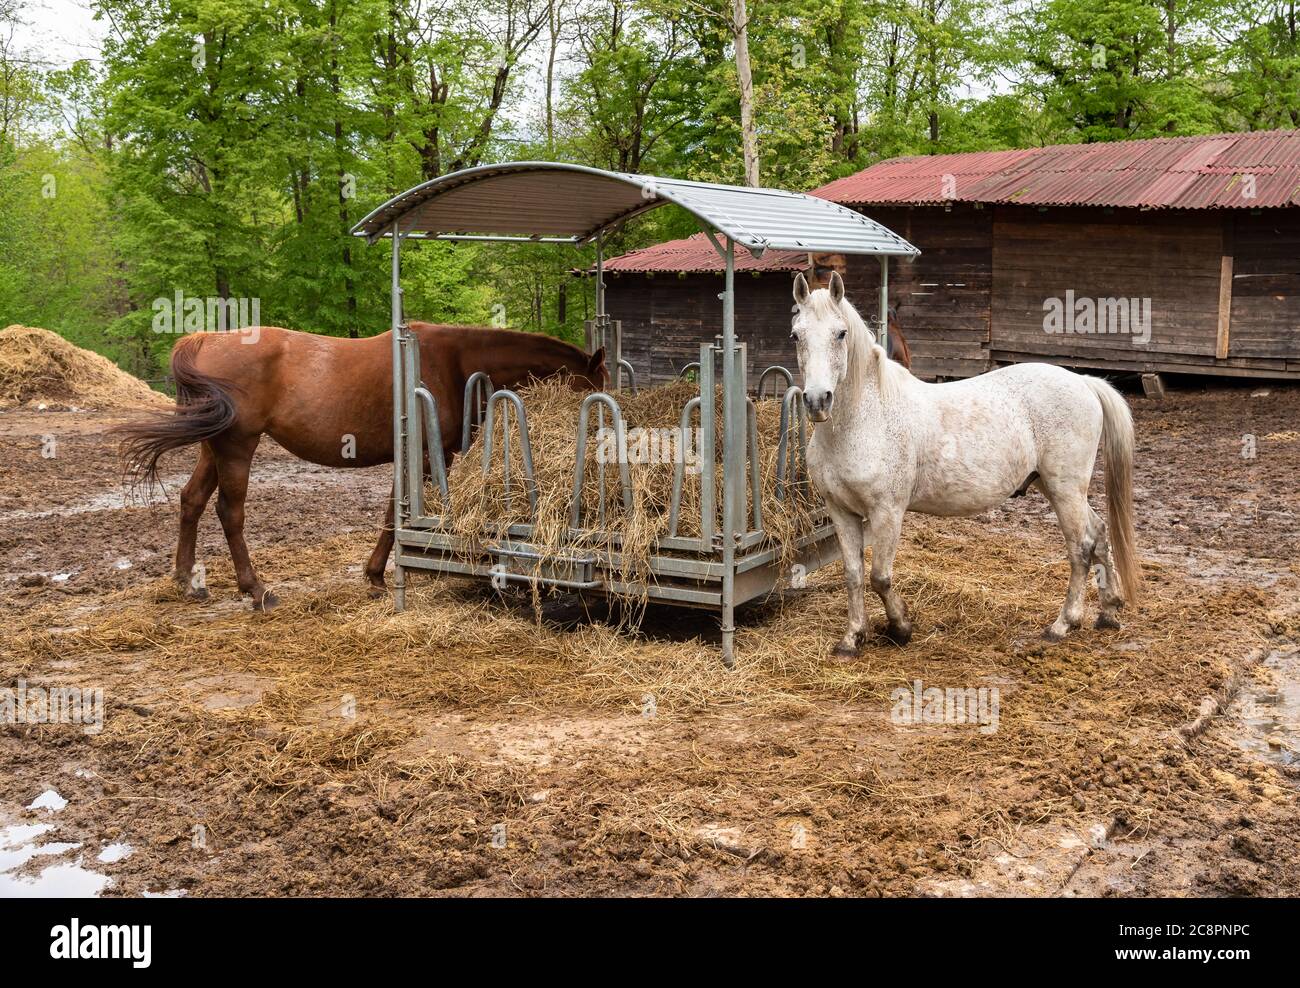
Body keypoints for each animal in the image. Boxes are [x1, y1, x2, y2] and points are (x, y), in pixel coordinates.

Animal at [119, 324, 608, 609]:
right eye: (597, 387)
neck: (456, 361)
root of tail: (202, 340)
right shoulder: (428, 457)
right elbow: (397, 515)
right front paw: (385, 576)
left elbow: (394, 514)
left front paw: (375, 575)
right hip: (238, 446)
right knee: (229, 512)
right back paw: (255, 589)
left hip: (214, 447)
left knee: (191, 501)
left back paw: (187, 580)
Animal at [791, 271, 1138, 659]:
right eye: (796, 335)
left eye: (841, 333)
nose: (817, 400)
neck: (865, 419)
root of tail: (1083, 382)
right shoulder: (841, 511)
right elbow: (853, 575)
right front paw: (852, 639)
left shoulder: (887, 512)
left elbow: (880, 576)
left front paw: (900, 628)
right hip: (1058, 488)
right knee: (1100, 533)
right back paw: (1108, 612)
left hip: (1065, 490)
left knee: (1081, 548)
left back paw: (1063, 624)